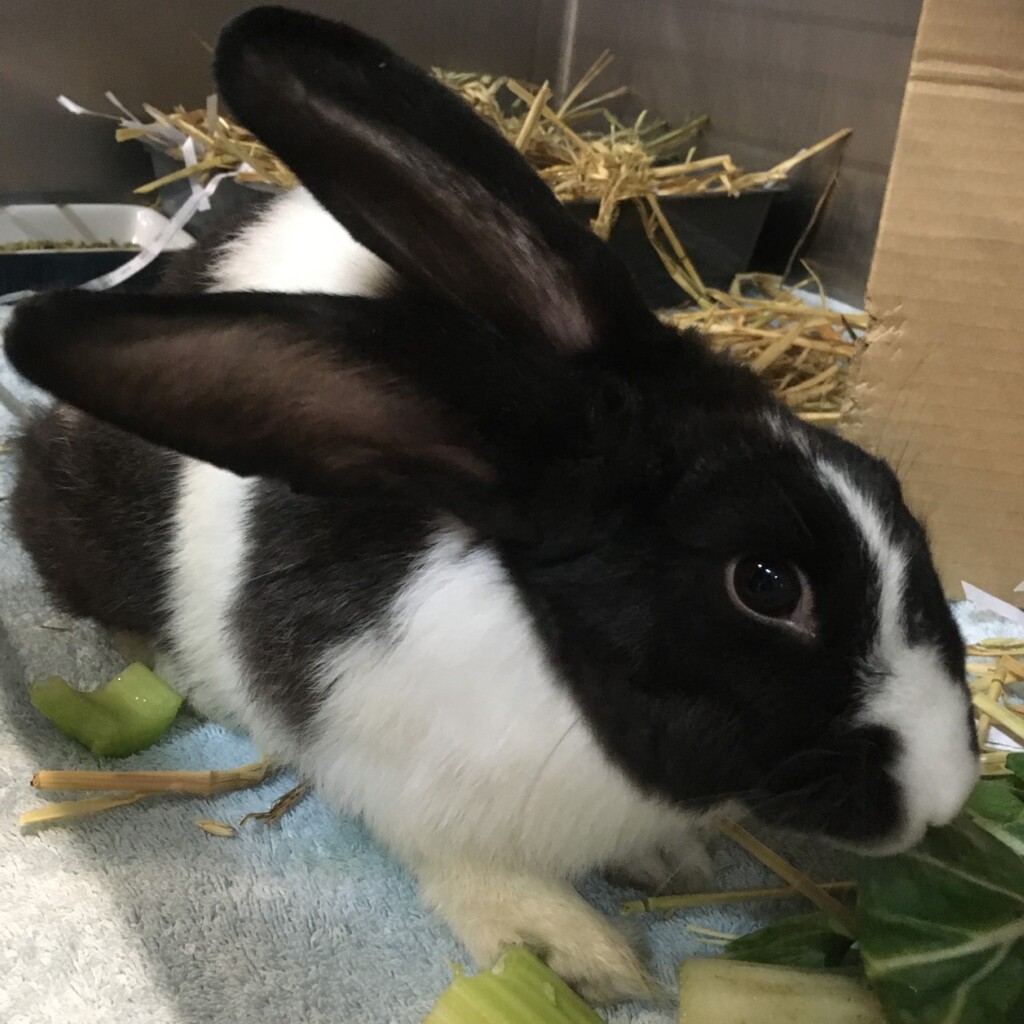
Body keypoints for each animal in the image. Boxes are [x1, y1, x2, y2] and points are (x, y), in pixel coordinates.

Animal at [3, 6, 978, 1004]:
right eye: (768, 583)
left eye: (888, 487)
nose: (946, 794)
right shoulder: (390, 764)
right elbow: (462, 862)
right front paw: (569, 949)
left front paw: (667, 861)